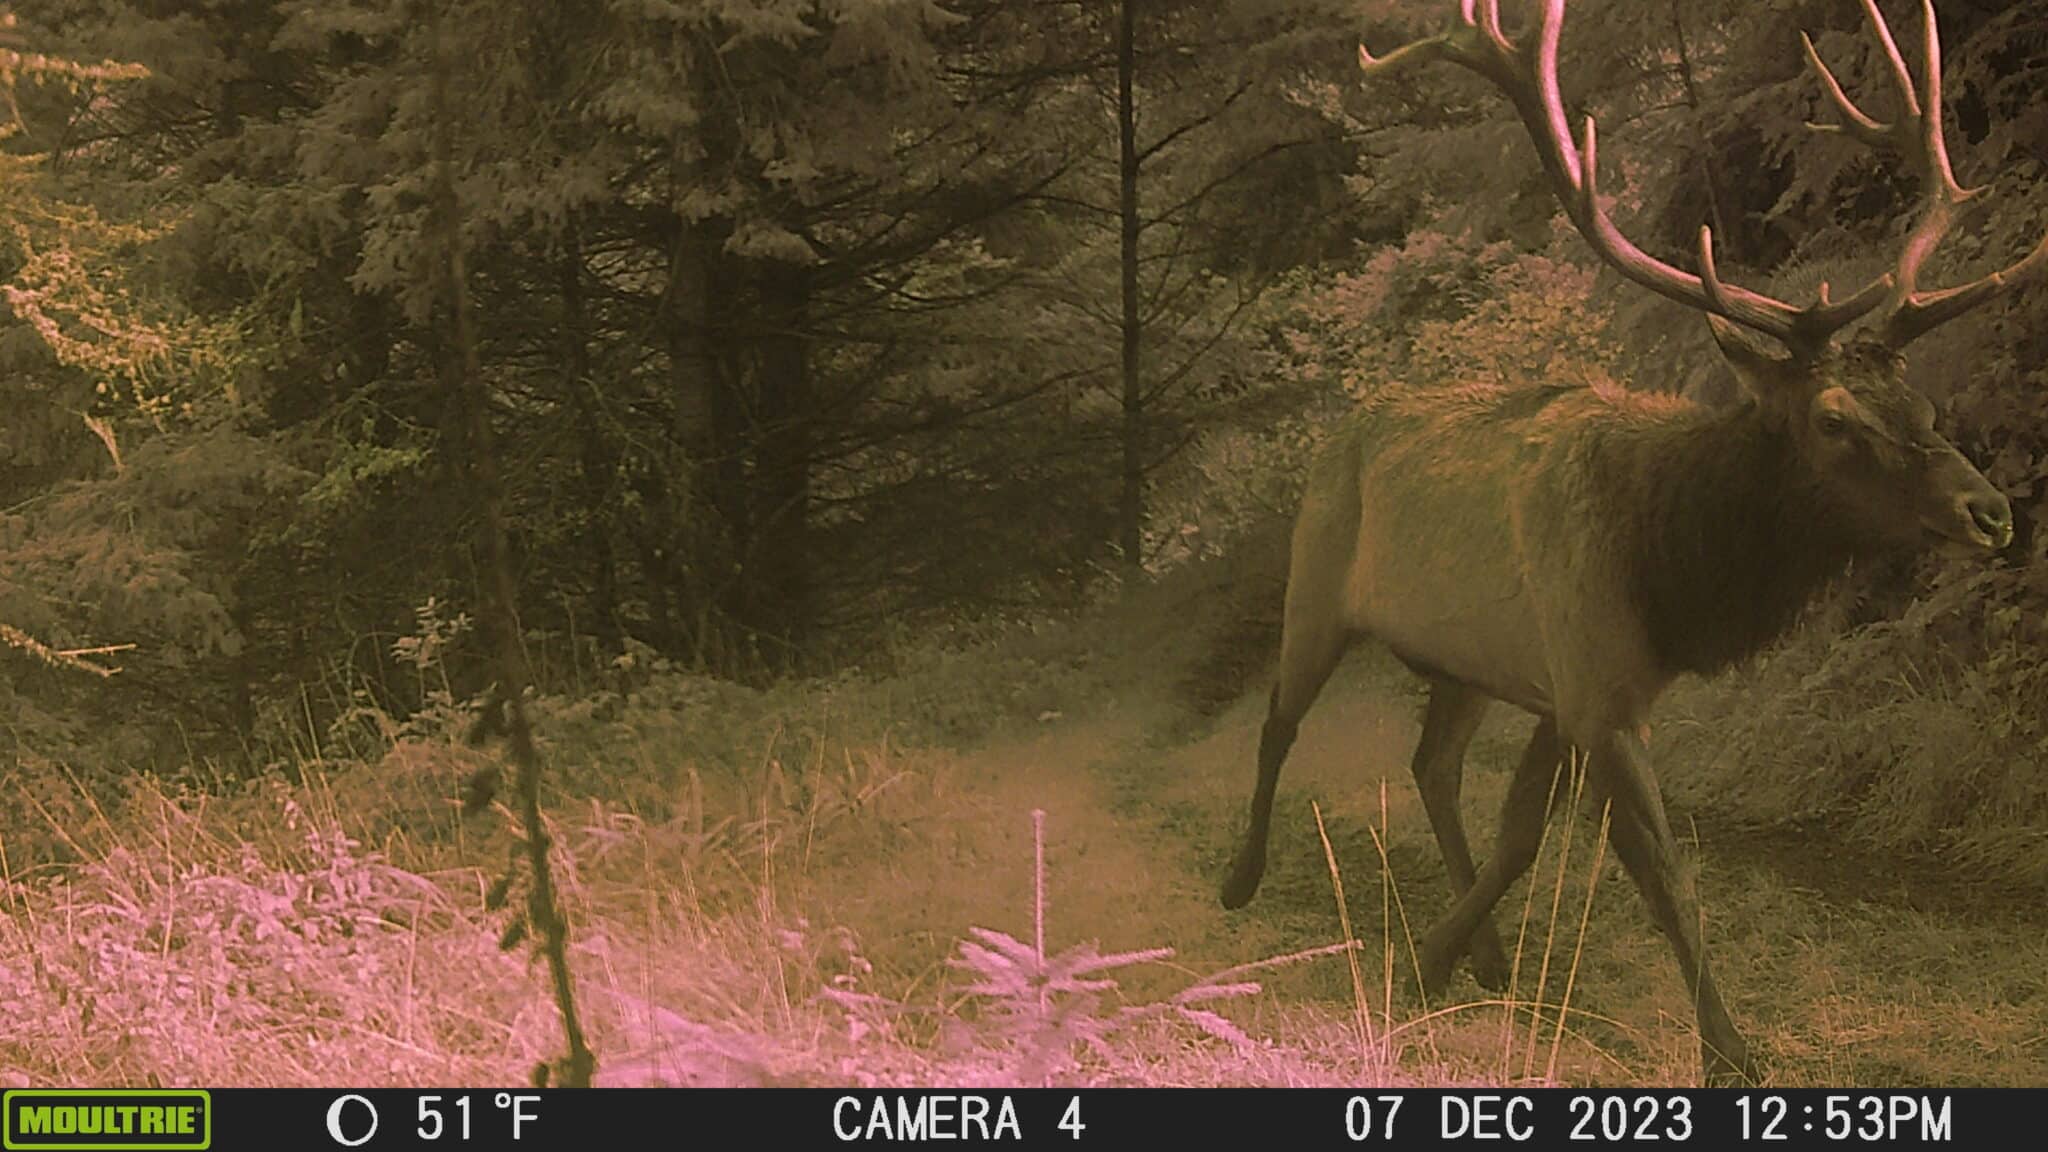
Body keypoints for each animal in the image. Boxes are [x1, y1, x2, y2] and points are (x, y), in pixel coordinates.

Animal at [1218, 0, 2048, 1087]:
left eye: (1920, 404)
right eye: (1833, 420)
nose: (1991, 511)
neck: (1672, 577)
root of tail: (1342, 428)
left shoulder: (1574, 685)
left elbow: (1523, 835)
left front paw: (1438, 954)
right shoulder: (1596, 691)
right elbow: (1659, 873)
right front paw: (1730, 1053)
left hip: (1472, 662)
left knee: (1431, 764)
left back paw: (1483, 953)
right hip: (1313, 583)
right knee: (1278, 723)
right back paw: (1239, 879)